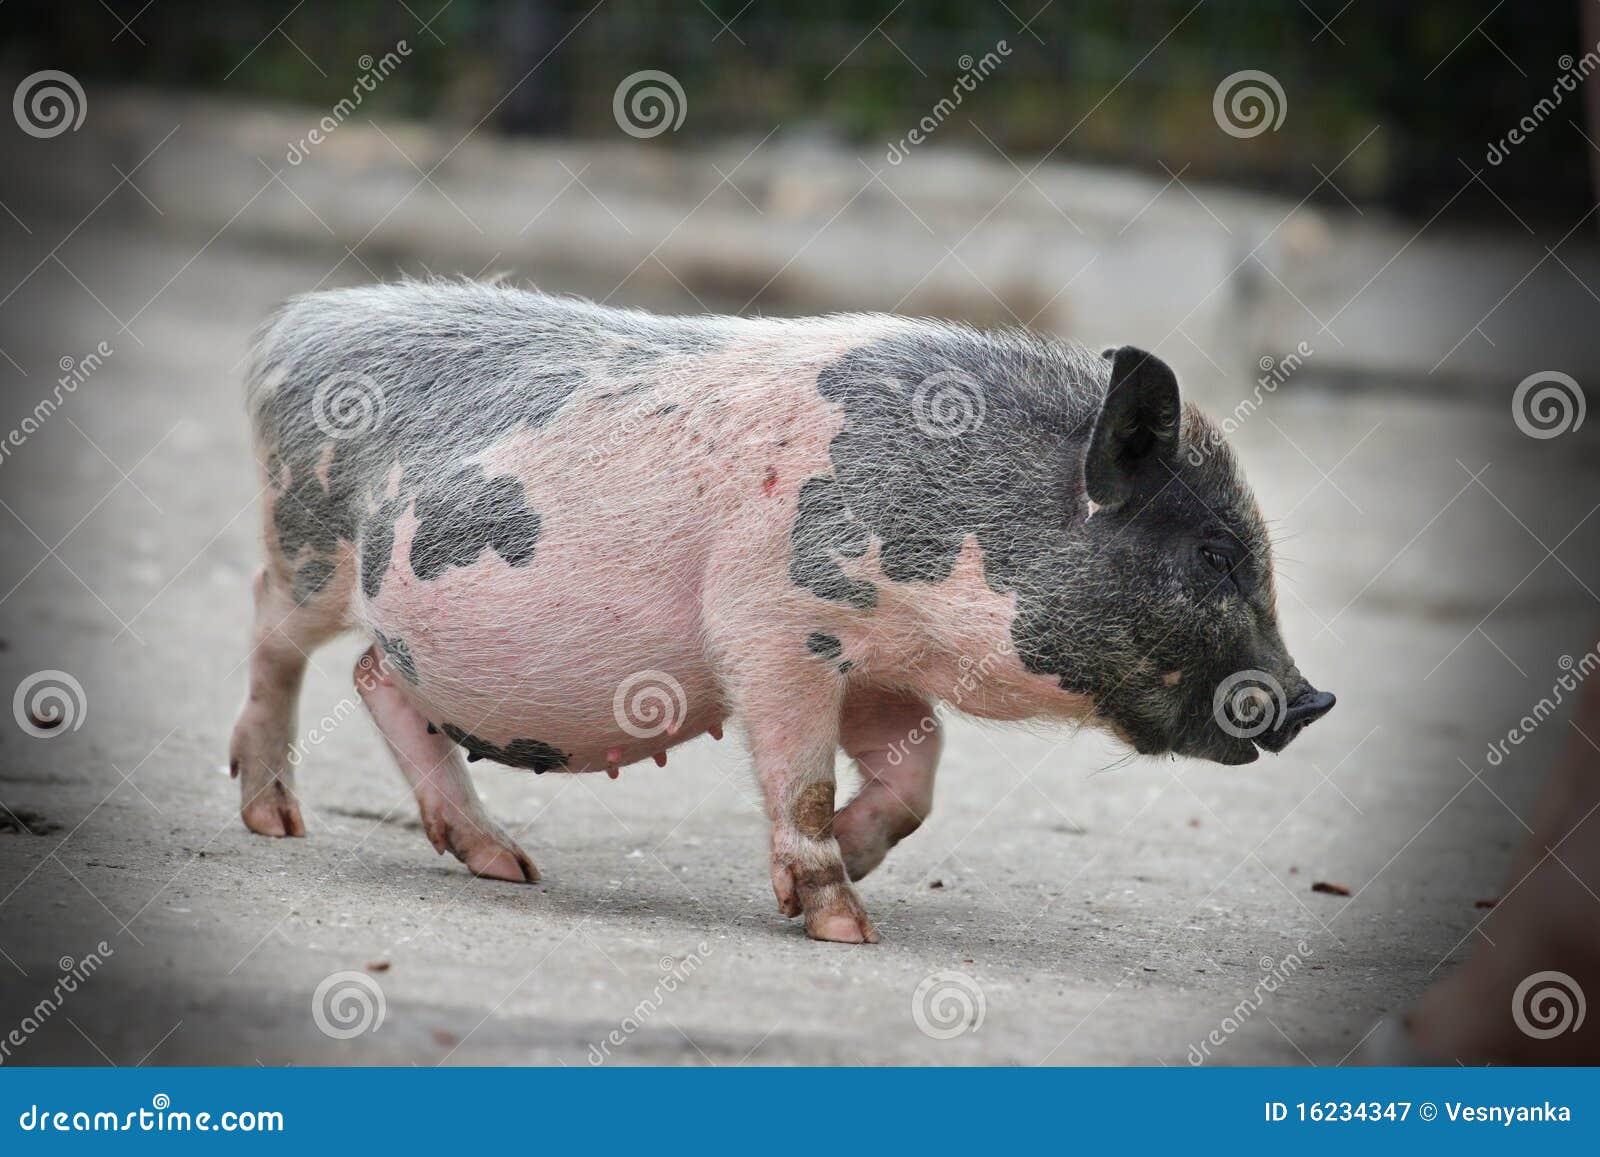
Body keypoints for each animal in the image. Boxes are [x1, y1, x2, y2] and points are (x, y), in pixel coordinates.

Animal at [227, 280, 1334, 944]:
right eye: (1216, 551)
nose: (1312, 699)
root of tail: (296, 323)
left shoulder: (880, 661)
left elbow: (914, 778)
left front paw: (840, 863)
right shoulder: (775, 629)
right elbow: (799, 780)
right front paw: (846, 926)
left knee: (376, 675)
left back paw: (510, 865)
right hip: (307, 543)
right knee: (275, 635)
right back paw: (274, 820)